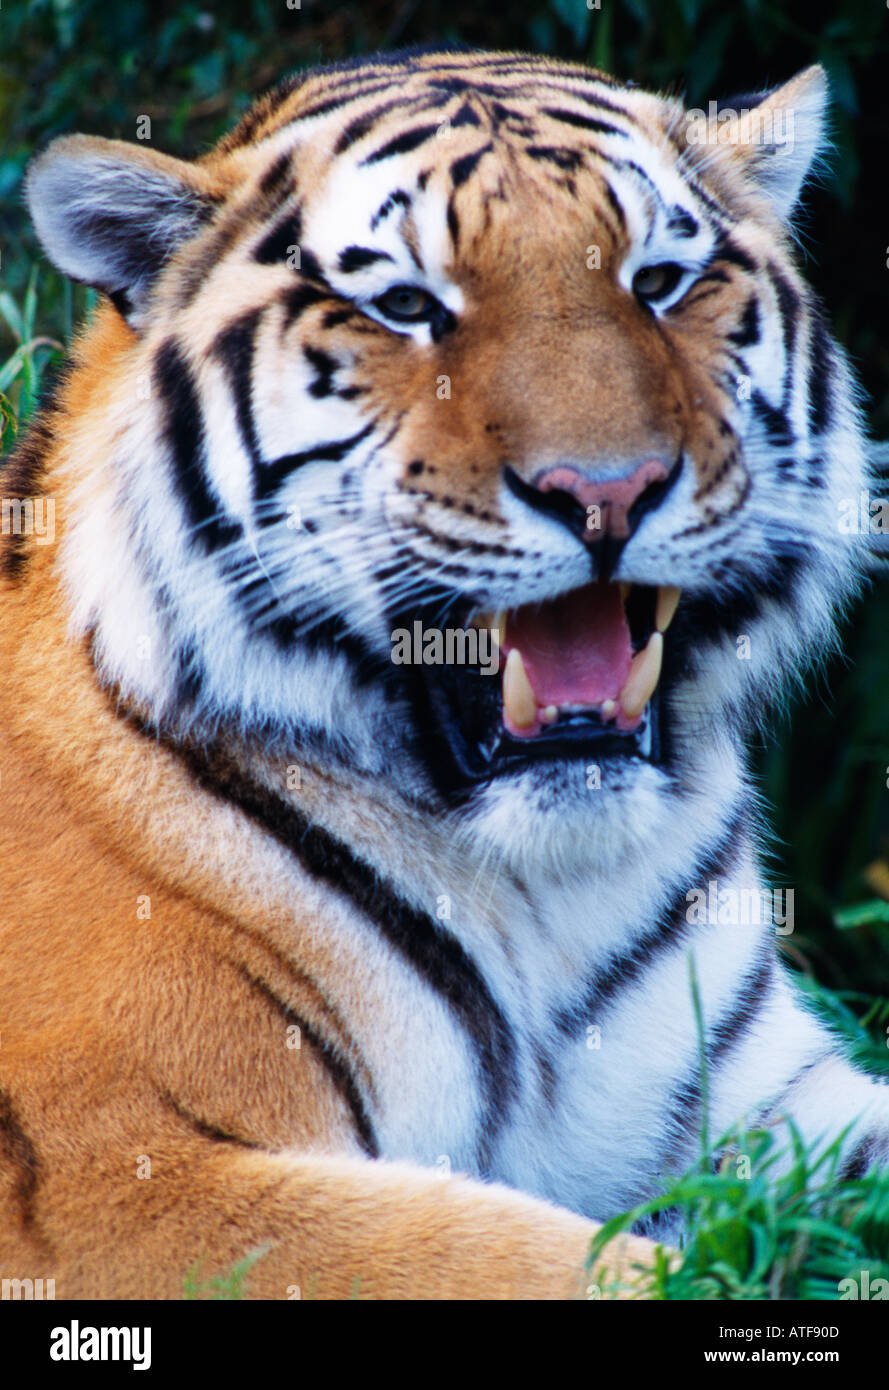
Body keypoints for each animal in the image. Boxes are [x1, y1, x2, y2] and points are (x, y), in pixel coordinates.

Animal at [1, 46, 887, 1302]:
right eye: (408, 307)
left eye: (660, 282)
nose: (608, 492)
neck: (545, 891)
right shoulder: (107, 1166)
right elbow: (531, 1257)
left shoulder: (771, 1100)